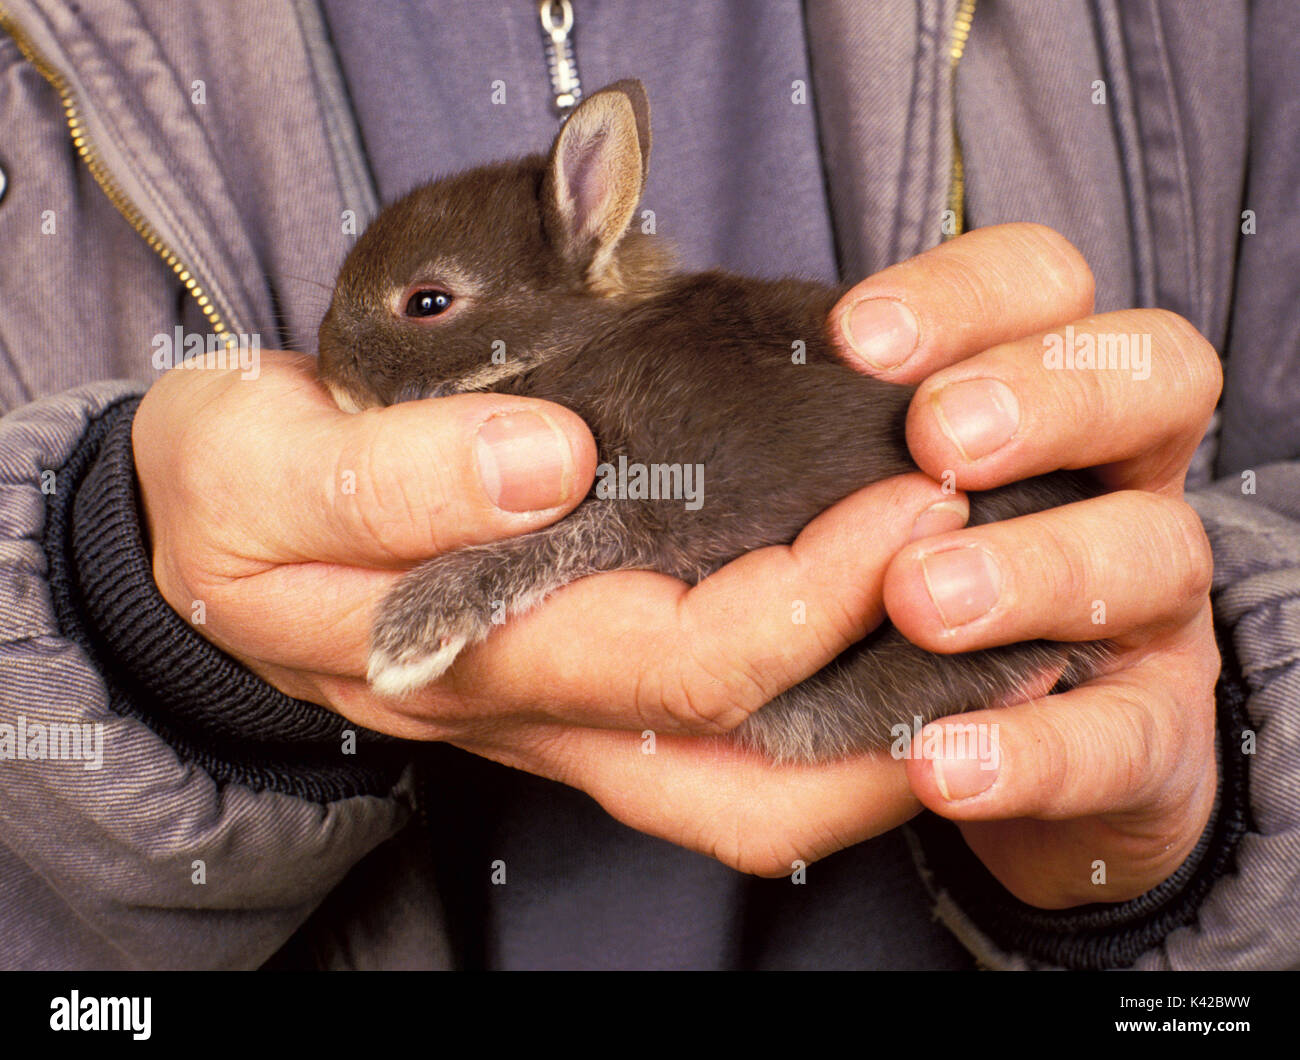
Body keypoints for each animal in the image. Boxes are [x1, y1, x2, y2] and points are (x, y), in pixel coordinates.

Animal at [316, 78, 1108, 764]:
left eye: (427, 302)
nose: (331, 374)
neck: (566, 345)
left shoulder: (663, 491)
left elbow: (562, 542)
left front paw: (409, 634)